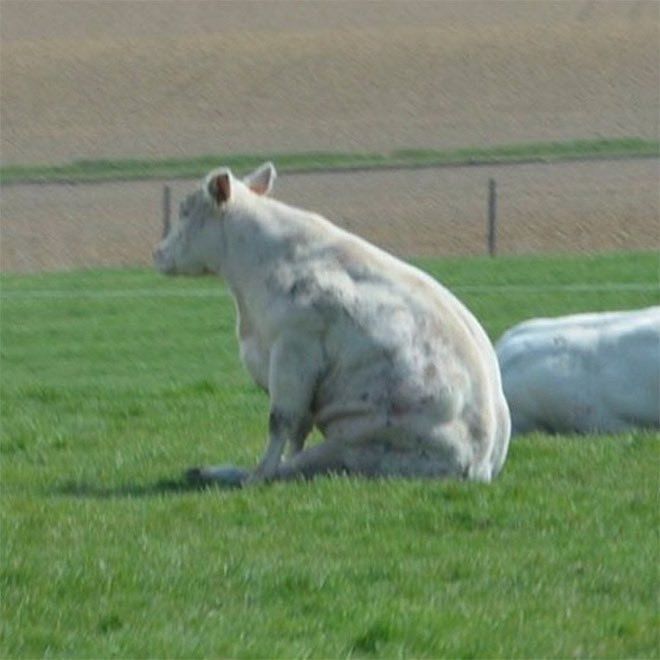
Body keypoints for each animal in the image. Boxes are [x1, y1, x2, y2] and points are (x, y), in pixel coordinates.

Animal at [153, 162, 511, 486]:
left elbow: (282, 422)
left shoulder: (294, 350)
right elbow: (298, 429)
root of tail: (482, 464)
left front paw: (258, 474)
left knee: (292, 470)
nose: (156, 254)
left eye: (184, 210)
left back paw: (224, 474)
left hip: (351, 450)